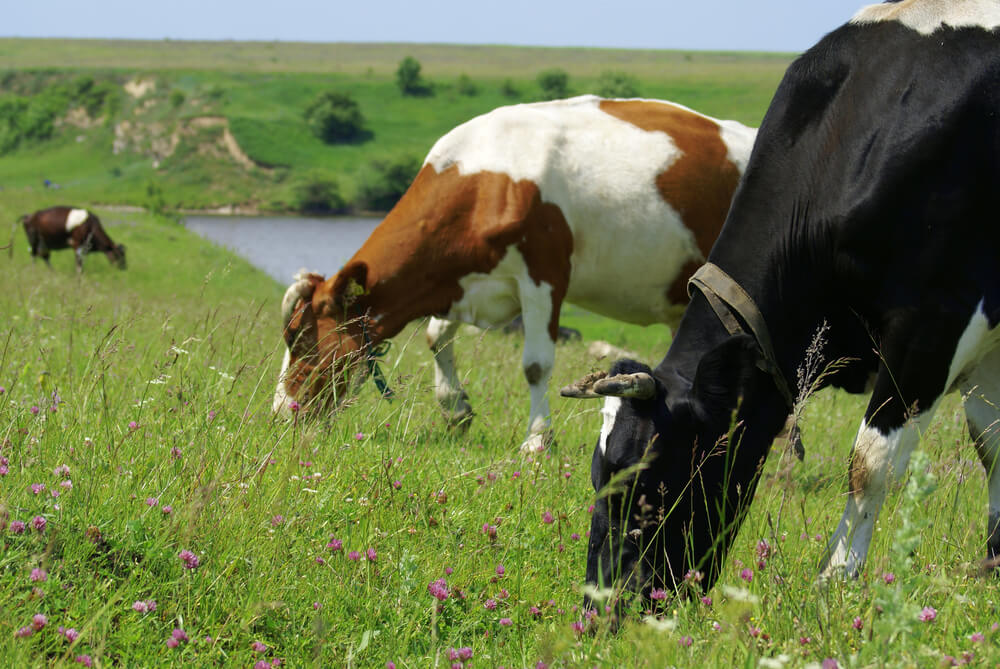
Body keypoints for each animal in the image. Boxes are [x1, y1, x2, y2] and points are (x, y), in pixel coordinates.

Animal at [273, 95, 757, 451]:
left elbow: (536, 365)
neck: (487, 178)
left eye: (301, 340)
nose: (279, 413)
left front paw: (537, 442)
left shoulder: (544, 277)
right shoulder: (472, 284)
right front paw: (455, 409)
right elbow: (436, 336)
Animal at [561, 0, 1000, 610]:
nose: (600, 611)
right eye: (597, 475)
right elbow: (993, 447)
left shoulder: (937, 321)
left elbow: (871, 464)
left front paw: (834, 580)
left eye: (648, 480)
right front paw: (995, 566)